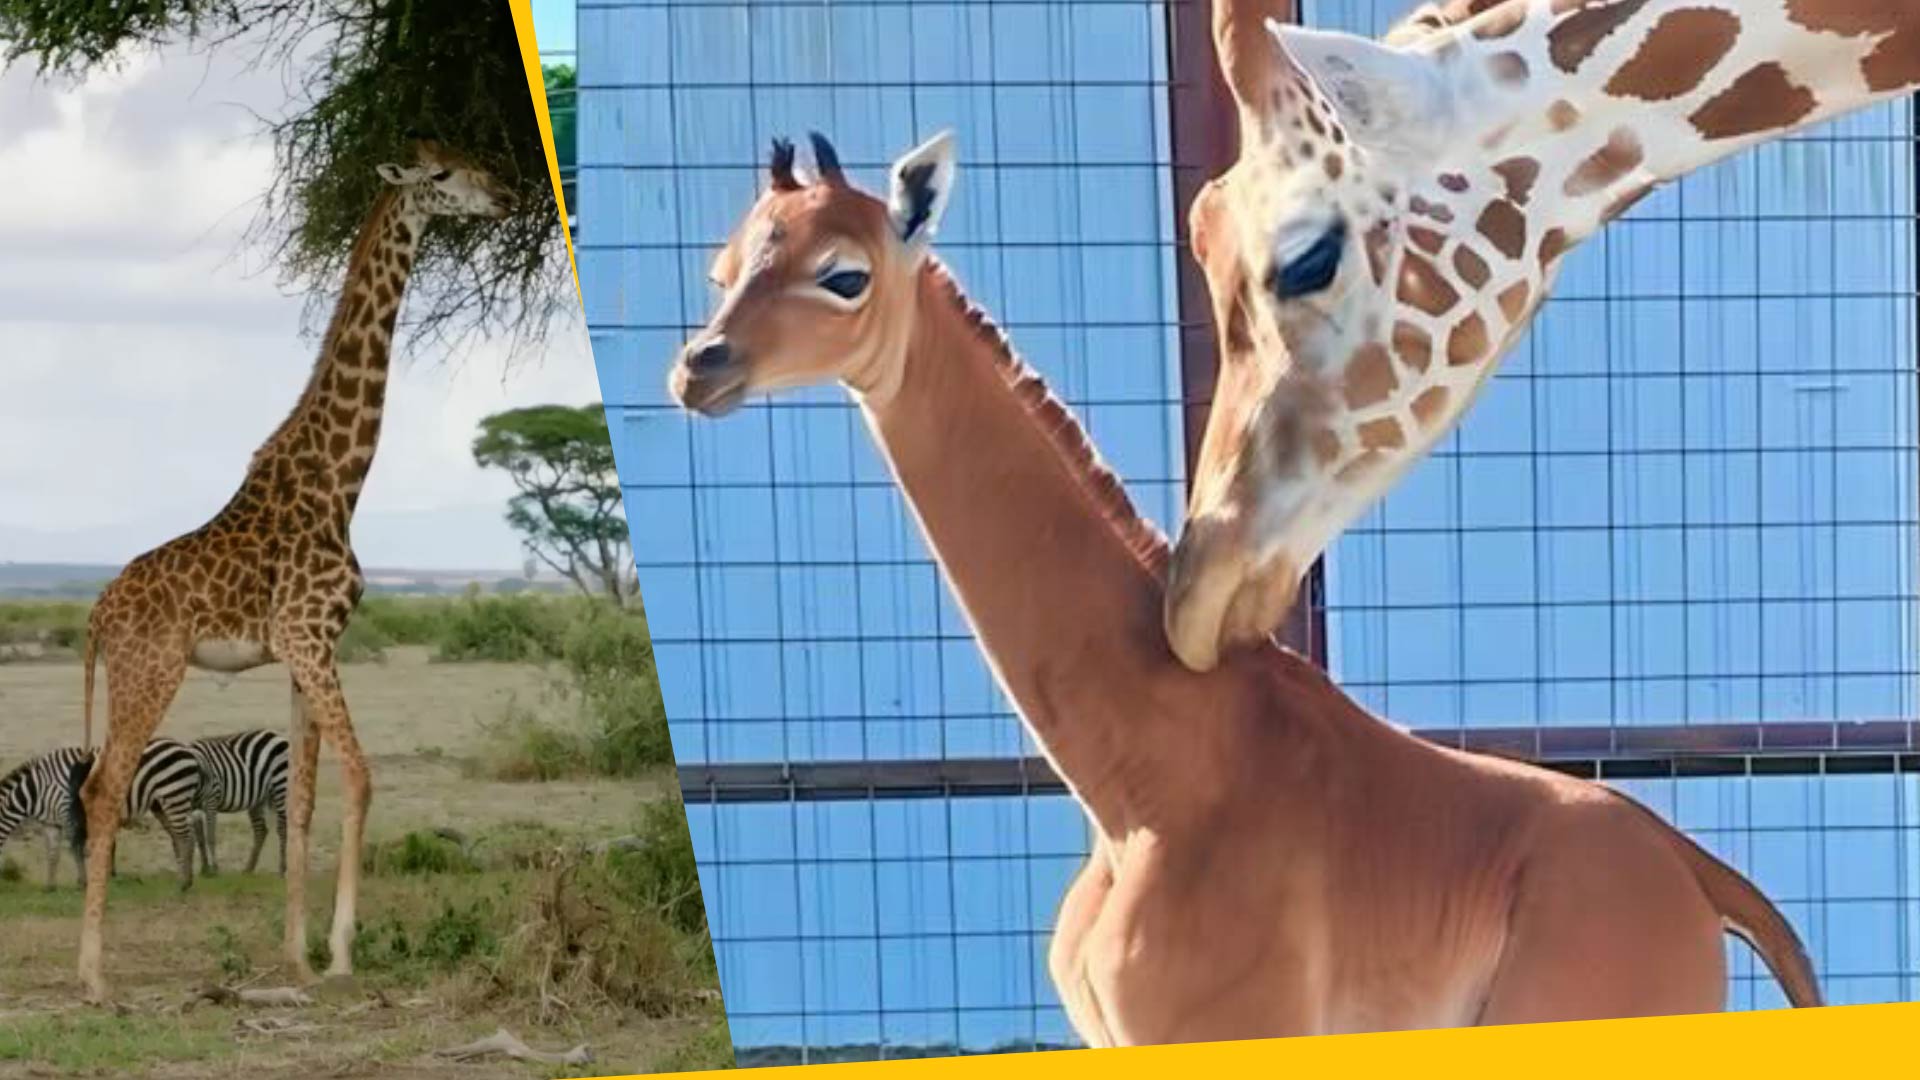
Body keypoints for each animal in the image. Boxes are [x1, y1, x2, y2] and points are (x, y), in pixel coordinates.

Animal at [73, 139, 510, 1003]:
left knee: (90, 786)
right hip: (152, 668)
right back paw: (96, 977)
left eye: (469, 160)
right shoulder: (311, 638)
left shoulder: (308, 651)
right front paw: (340, 953)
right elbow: (363, 778)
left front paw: (298, 955)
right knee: (103, 788)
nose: (508, 197)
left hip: (136, 672)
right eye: (442, 176)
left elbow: (304, 798)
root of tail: (97, 615)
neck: (340, 483)